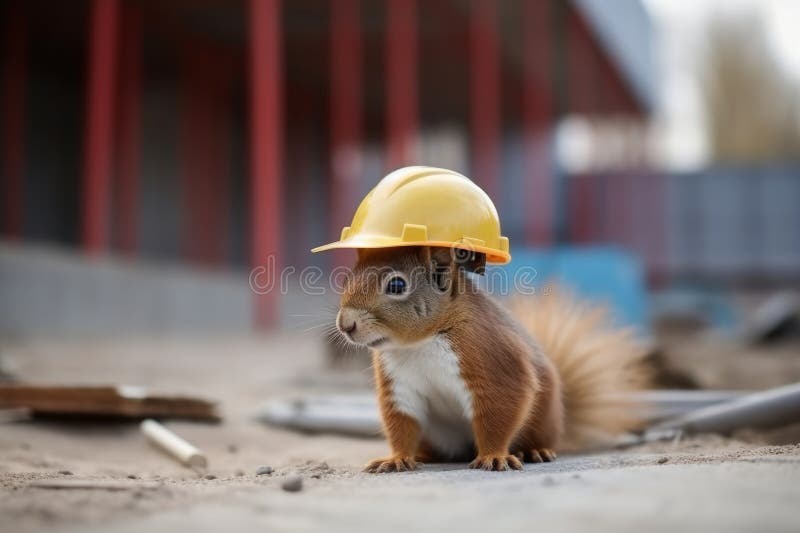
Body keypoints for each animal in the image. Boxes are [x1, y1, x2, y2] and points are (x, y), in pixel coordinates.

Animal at [335, 245, 649, 472]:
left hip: (543, 417)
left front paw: (494, 457)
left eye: (397, 285)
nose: (345, 324)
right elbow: (401, 422)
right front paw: (397, 458)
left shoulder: (491, 357)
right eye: (348, 278)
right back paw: (424, 455)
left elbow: (498, 414)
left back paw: (535, 450)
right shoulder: (399, 386)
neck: (420, 344)